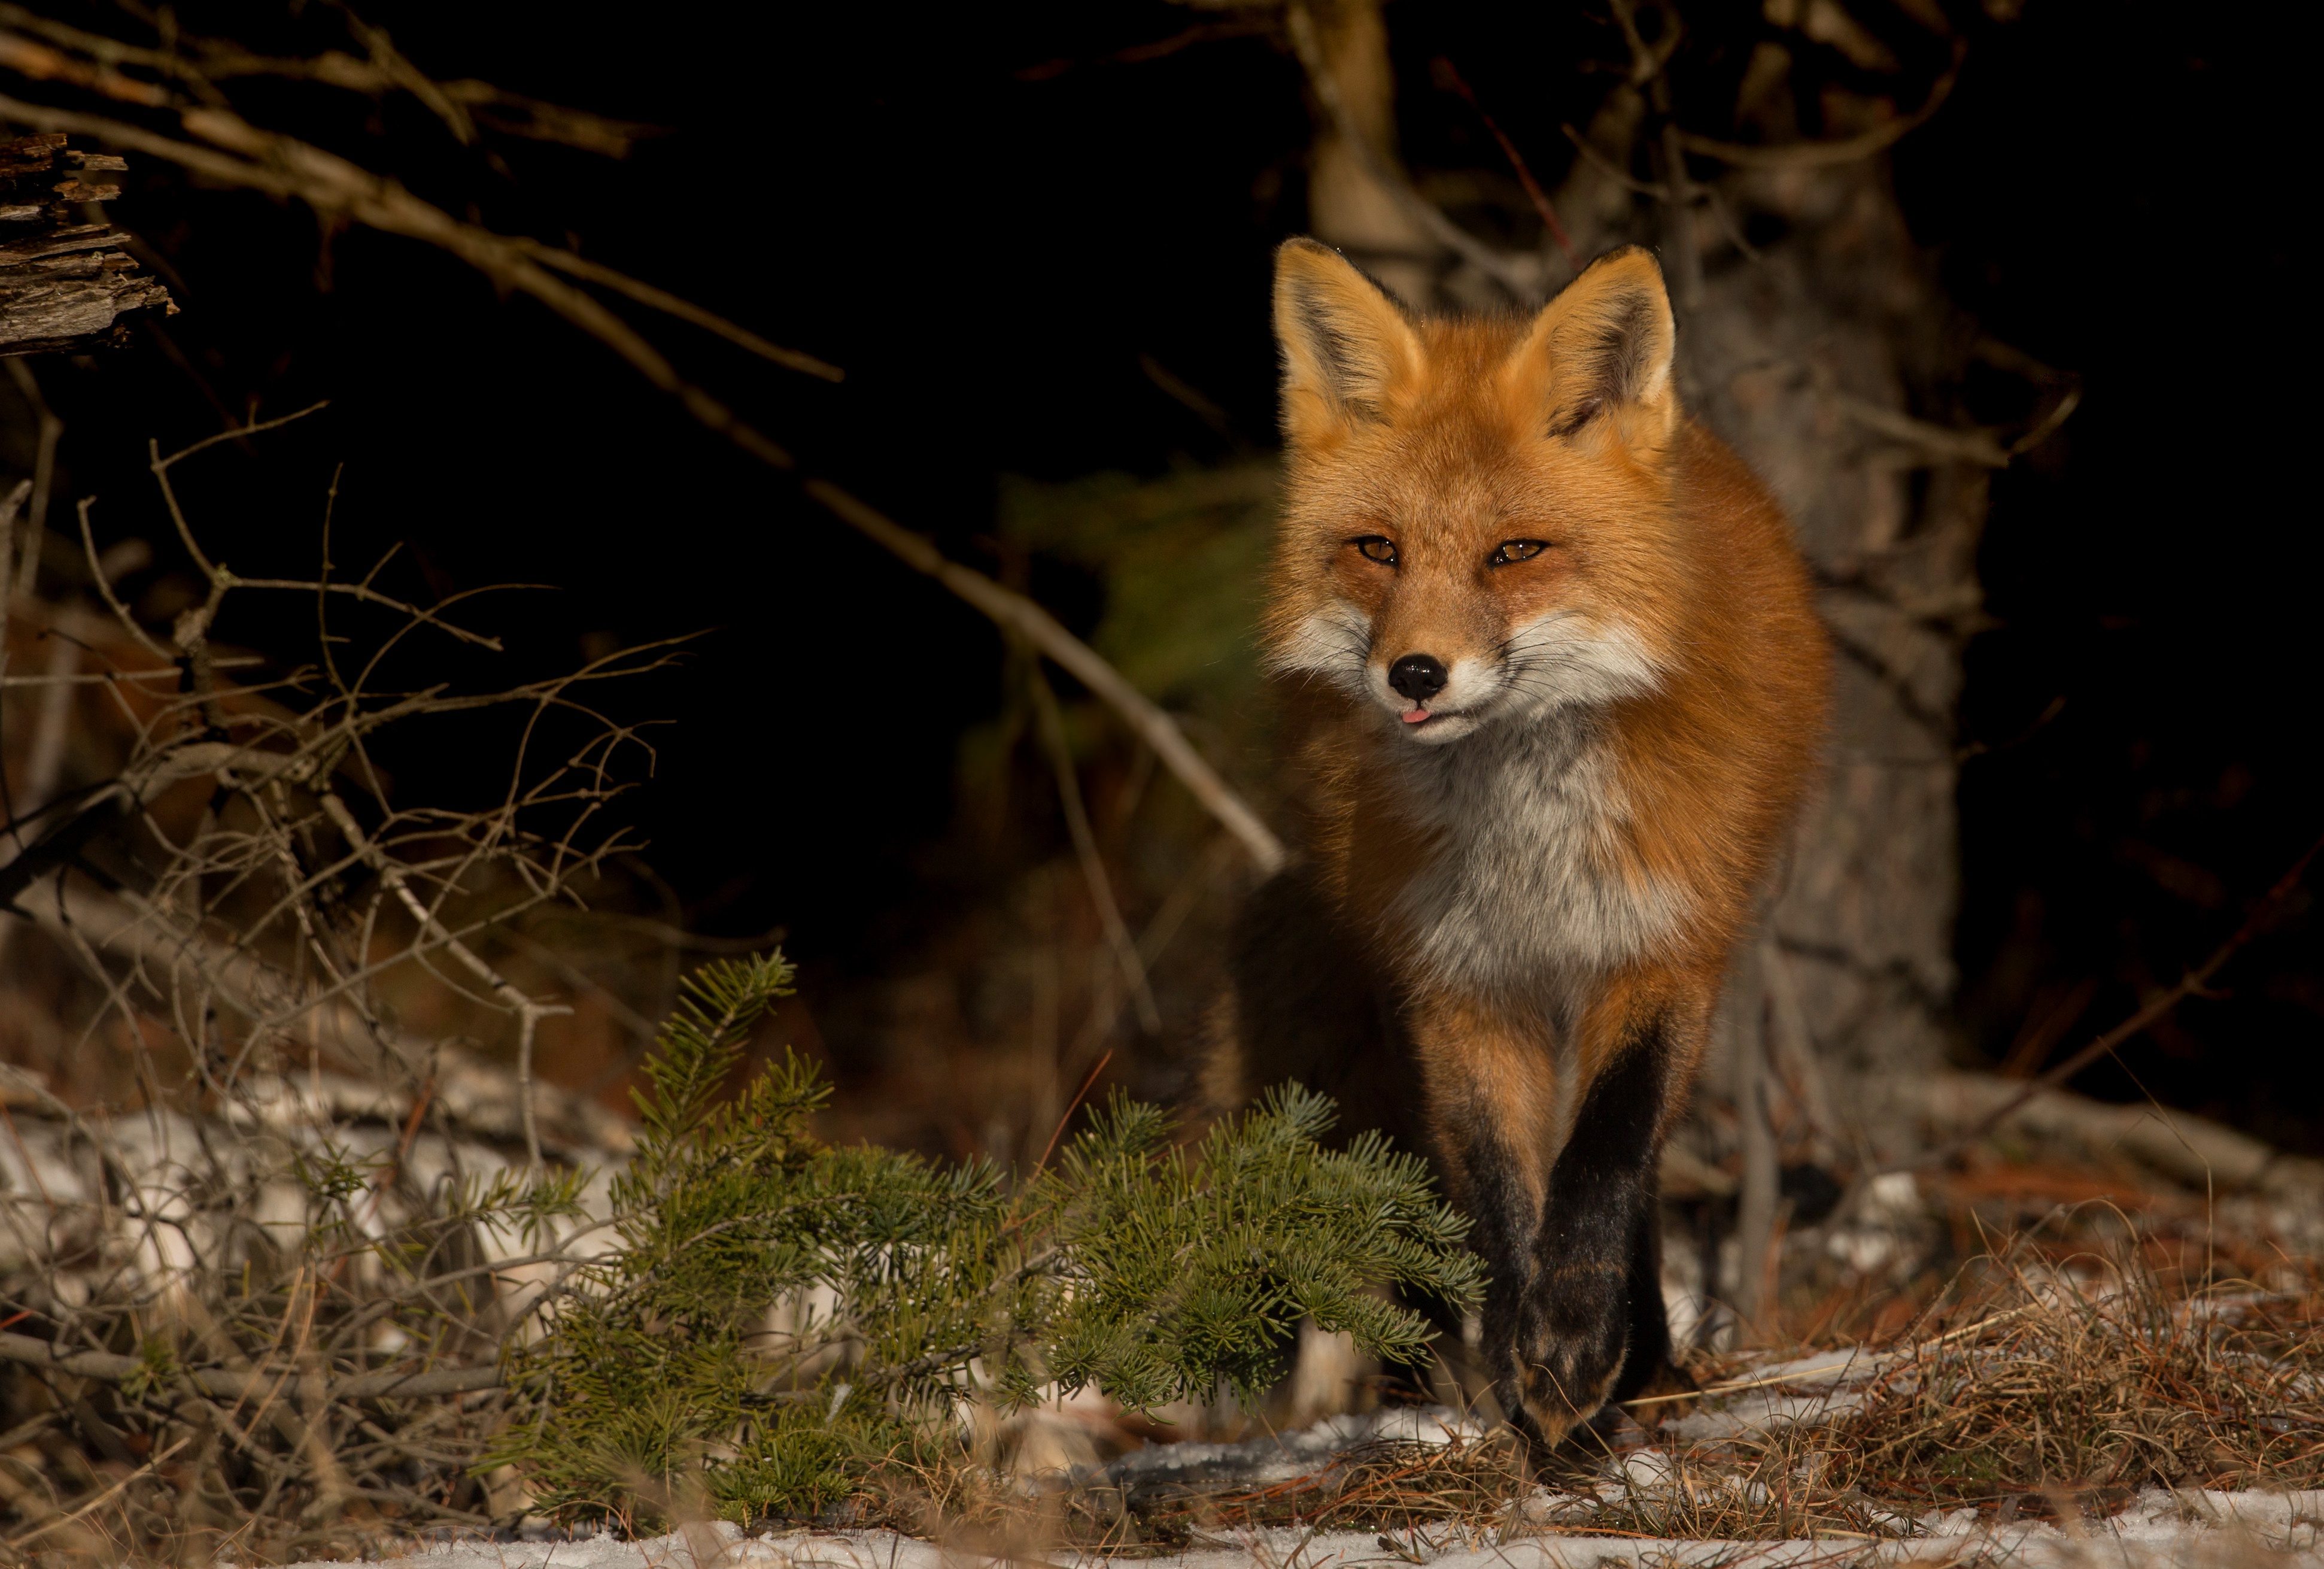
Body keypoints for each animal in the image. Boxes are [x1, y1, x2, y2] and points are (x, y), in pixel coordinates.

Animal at [1201, 239, 1830, 1450]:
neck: (1525, 842)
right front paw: (1521, 1353)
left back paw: (1642, 1361)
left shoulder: (1659, 950)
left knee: (1635, 1169)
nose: (1412, 674)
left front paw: (1580, 1340)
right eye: (1377, 550)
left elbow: (1607, 1156)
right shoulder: (1457, 980)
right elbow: (1496, 1191)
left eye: (1513, 553)